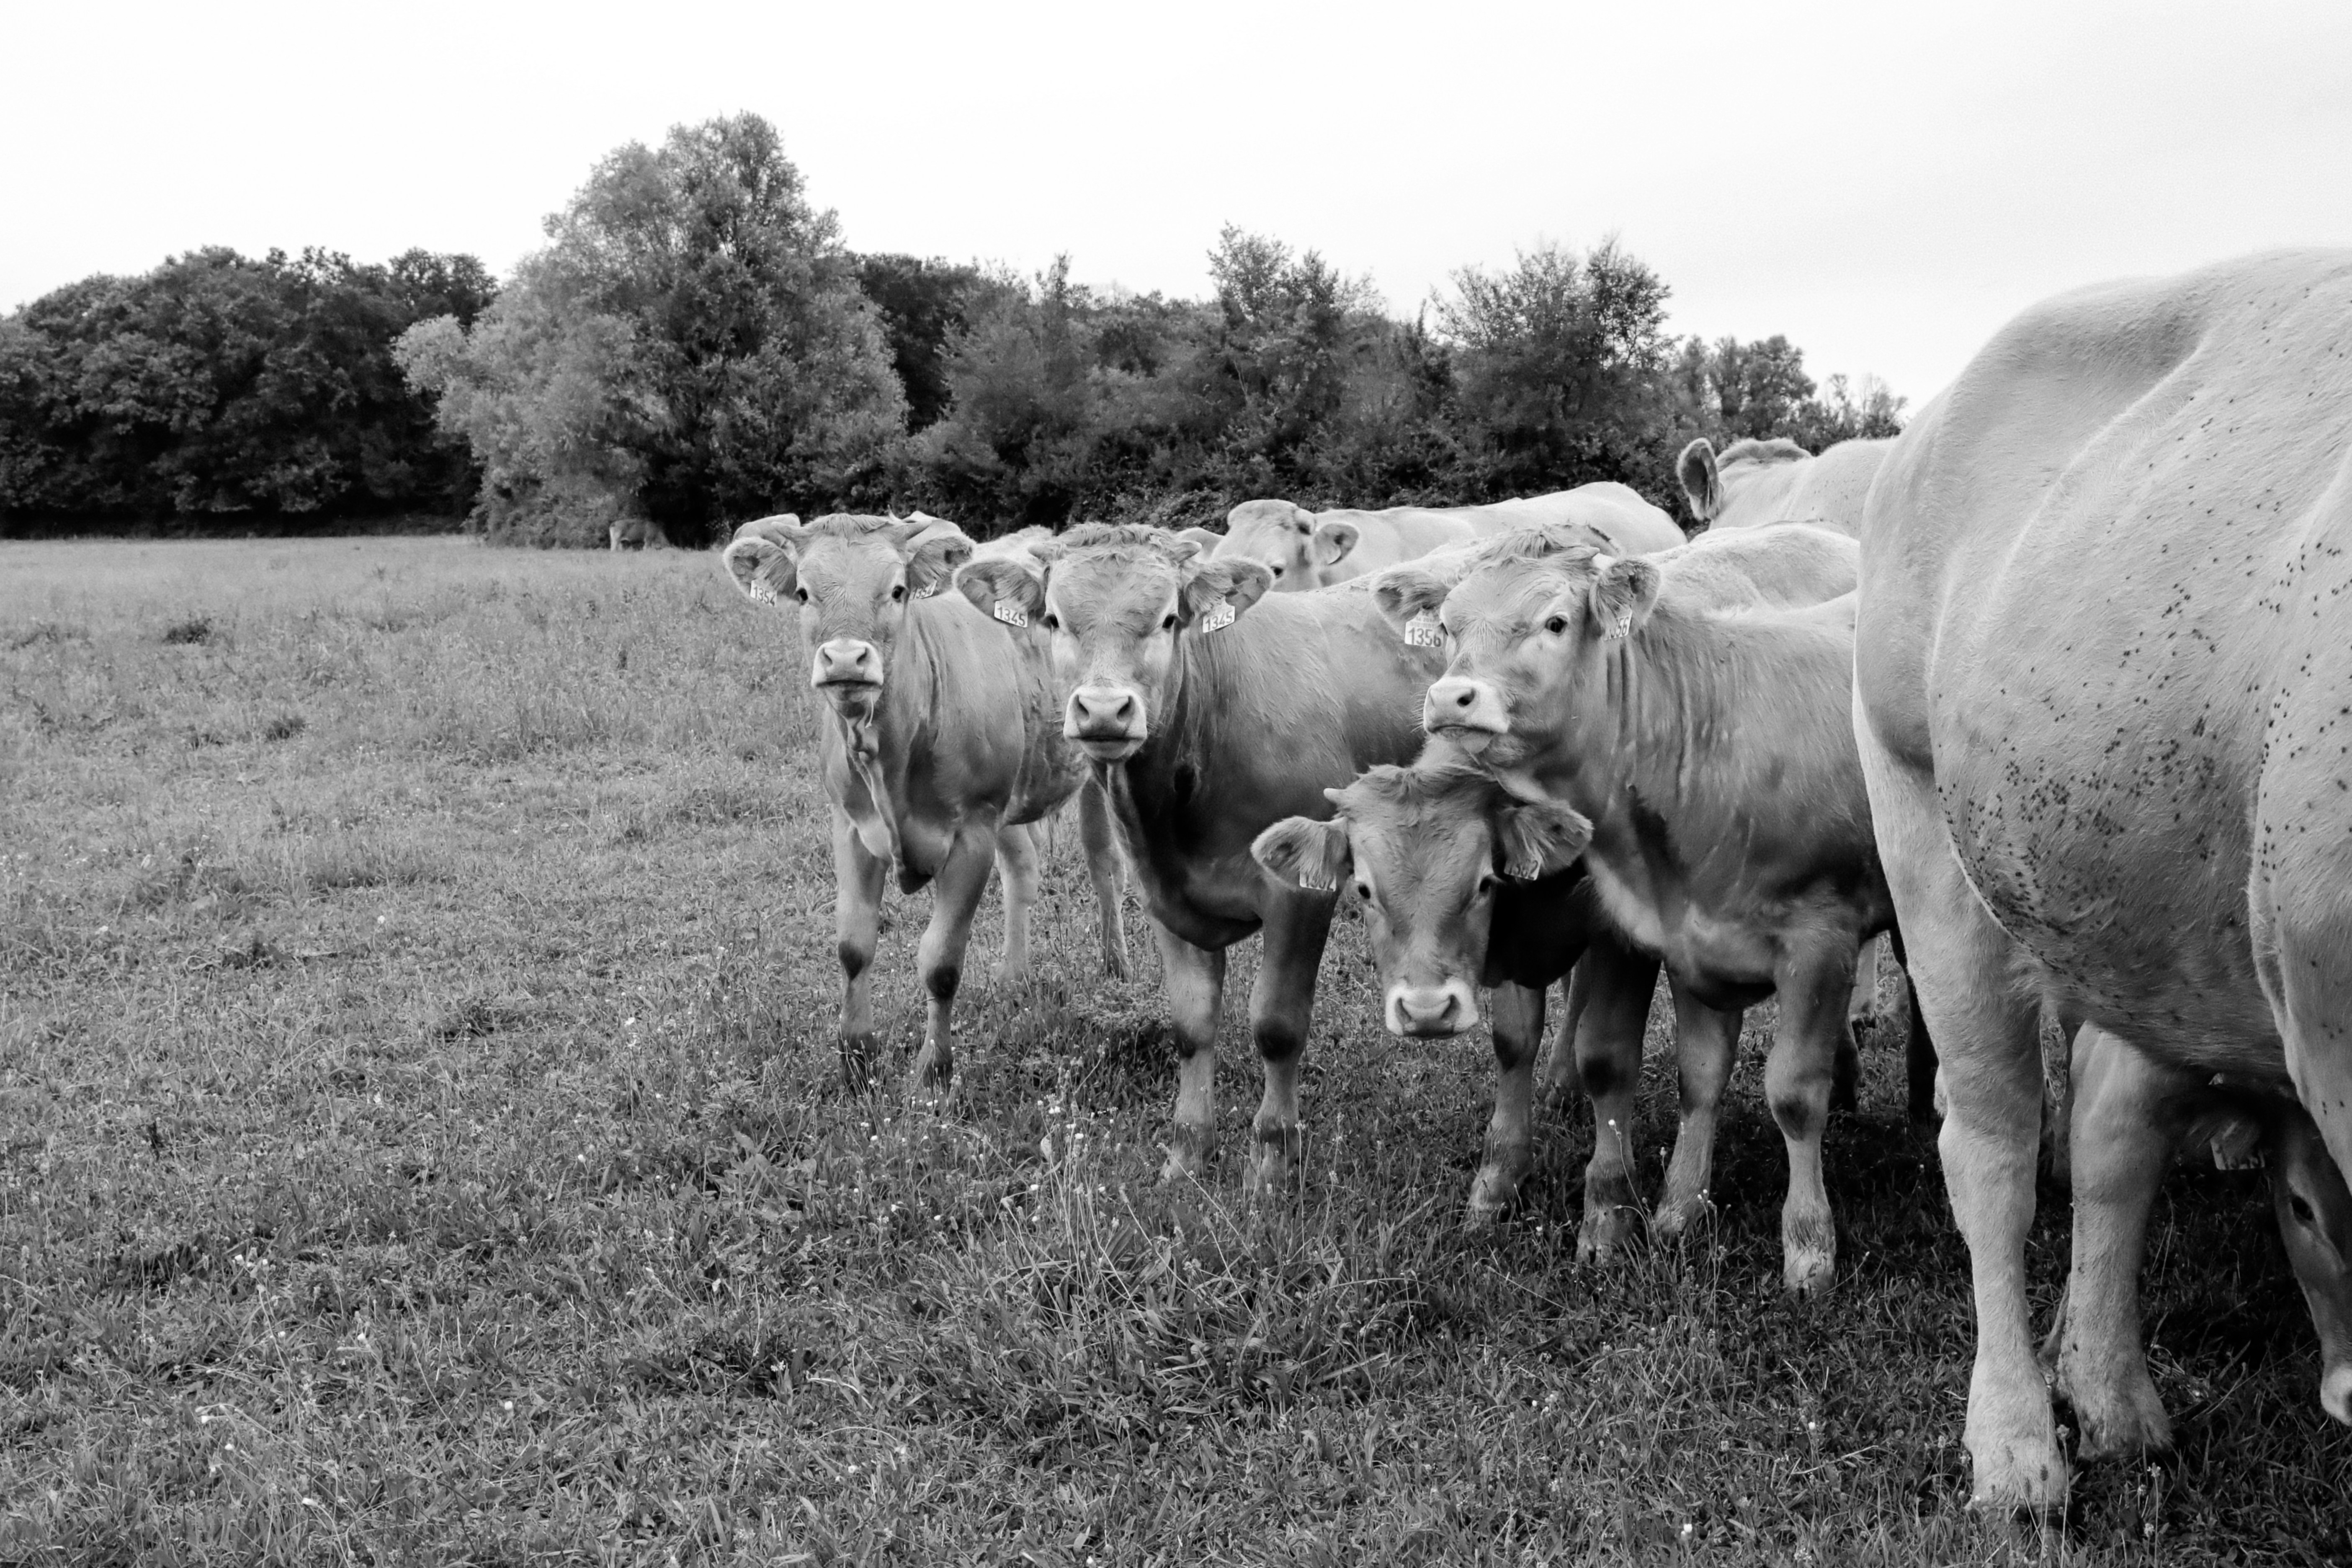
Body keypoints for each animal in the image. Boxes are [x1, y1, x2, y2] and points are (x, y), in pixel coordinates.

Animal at [720, 512, 1128, 1089]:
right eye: (802, 592)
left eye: (896, 591)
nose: (845, 658)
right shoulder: (850, 827)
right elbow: (853, 947)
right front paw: (857, 1057)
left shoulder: (972, 834)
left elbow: (941, 963)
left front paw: (933, 1073)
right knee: (1023, 870)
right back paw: (1012, 976)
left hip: (1099, 762)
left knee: (1104, 866)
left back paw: (1117, 969)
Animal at [952, 522, 1458, 1188]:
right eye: (1054, 619)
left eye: (1169, 619)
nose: (1104, 710)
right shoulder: (1164, 895)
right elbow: (1191, 1026)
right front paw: (1187, 1154)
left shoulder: (1299, 893)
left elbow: (1276, 1026)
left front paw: (1271, 1161)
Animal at [1250, 760, 1692, 1230]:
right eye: (1364, 890)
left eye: (1483, 884)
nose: (1427, 1010)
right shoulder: (1513, 938)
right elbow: (1514, 1041)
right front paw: (1498, 1178)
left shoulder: (1622, 937)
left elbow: (1608, 1060)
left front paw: (1609, 1213)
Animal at [1379, 522, 1934, 1295]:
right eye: (1449, 628)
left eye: (1555, 622)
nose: (1451, 697)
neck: (1706, 738)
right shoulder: (1683, 936)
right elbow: (1695, 1076)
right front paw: (1677, 1210)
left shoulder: (1817, 940)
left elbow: (1794, 1093)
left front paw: (1808, 1247)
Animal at [1853, 249, 2352, 1507]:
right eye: (2299, 1211)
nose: (2348, 1398)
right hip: (1922, 825)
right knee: (1990, 1147)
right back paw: (2015, 1447)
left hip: (2139, 914)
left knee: (2112, 1136)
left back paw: (2113, 1398)